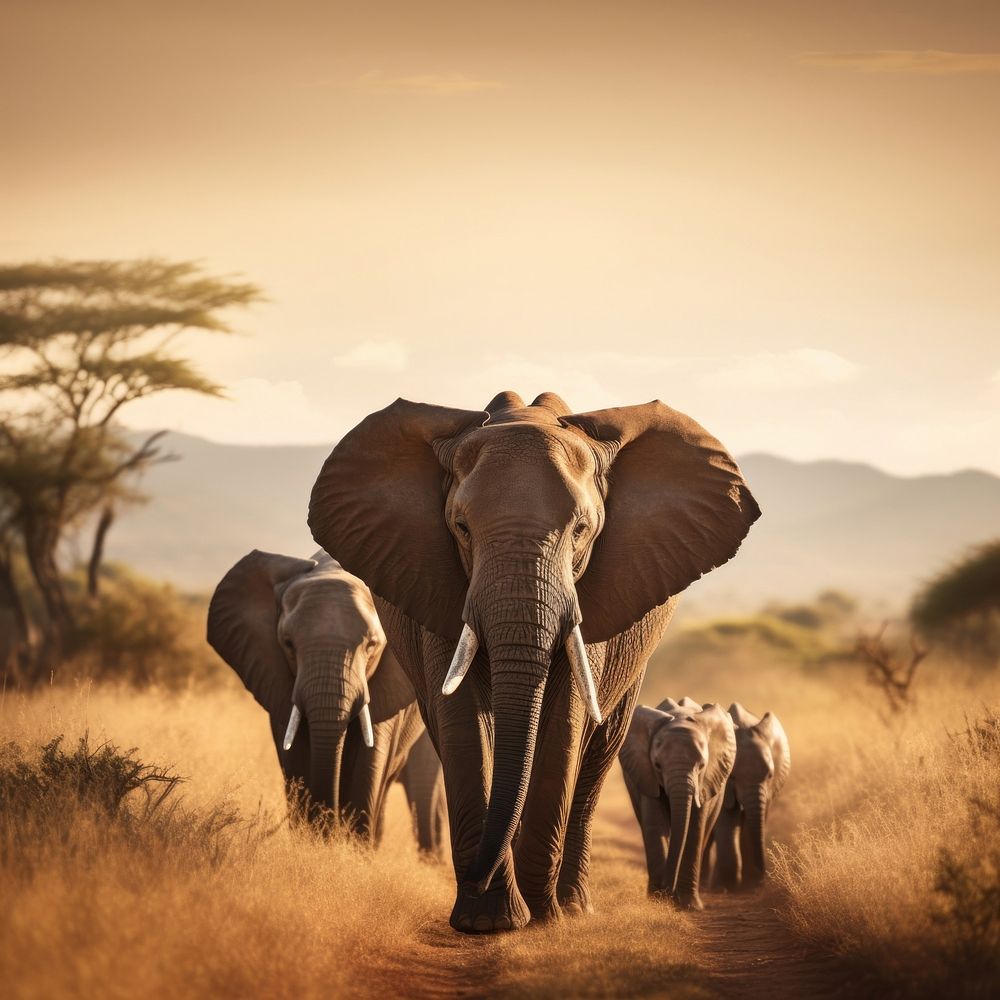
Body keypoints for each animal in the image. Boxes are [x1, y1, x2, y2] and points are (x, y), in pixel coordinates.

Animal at [207, 548, 446, 852]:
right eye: (288, 643)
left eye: (372, 645)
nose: (329, 826)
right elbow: (296, 759)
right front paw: (311, 843)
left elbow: (369, 765)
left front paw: (355, 853)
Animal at [620, 697, 736, 910]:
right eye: (657, 765)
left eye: (702, 766)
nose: (667, 891)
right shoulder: (646, 773)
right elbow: (655, 824)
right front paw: (657, 903)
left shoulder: (706, 781)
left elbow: (695, 828)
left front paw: (689, 906)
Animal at [710, 703, 790, 890]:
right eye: (732, 777)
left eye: (770, 775)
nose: (763, 879)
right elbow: (727, 819)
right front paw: (726, 887)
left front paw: (749, 886)